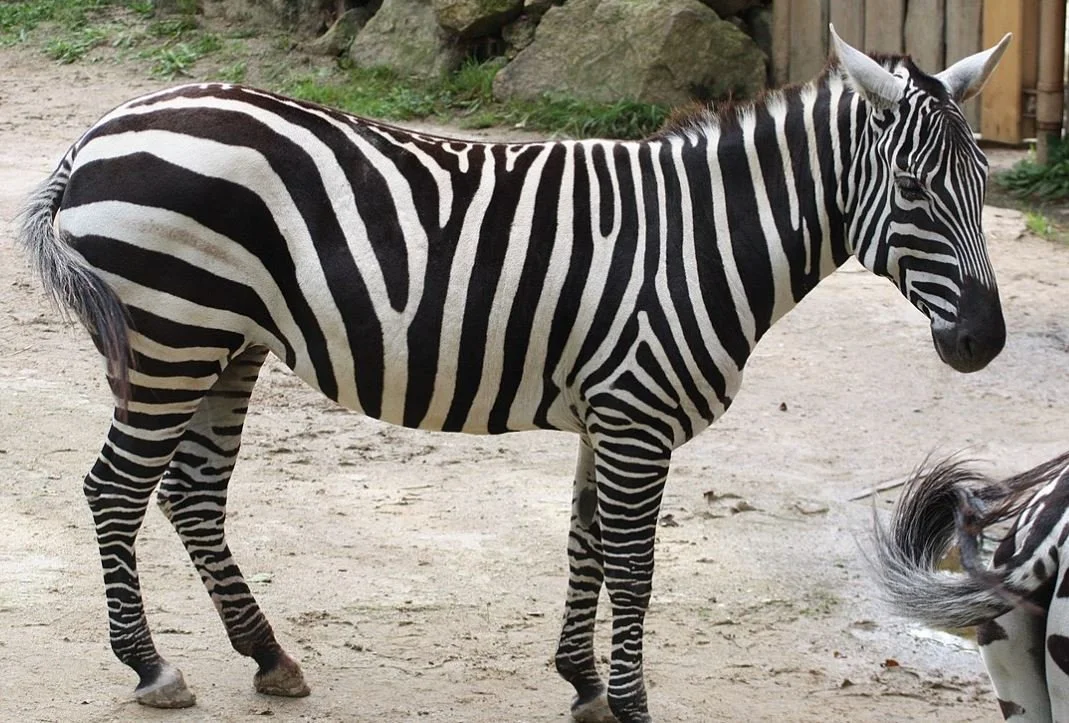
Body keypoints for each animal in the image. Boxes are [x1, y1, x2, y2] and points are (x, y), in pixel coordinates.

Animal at [15, 26, 1009, 723]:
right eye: (913, 190)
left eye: (983, 186)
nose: (983, 342)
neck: (697, 242)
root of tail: (100, 132)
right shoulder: (638, 415)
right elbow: (634, 566)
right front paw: (631, 701)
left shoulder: (608, 414)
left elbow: (585, 544)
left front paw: (583, 682)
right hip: (168, 336)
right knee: (114, 488)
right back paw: (151, 665)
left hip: (226, 342)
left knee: (191, 493)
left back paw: (267, 655)